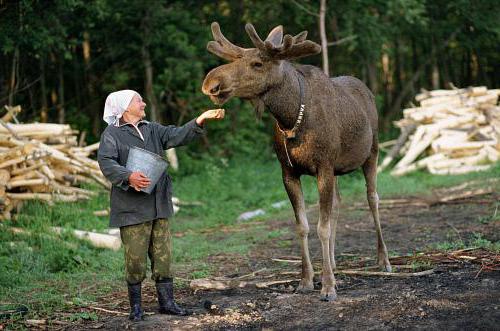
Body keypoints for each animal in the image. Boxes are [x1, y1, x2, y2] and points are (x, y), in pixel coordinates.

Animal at [201, 22, 392, 302]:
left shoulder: (323, 166)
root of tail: (367, 89)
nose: (210, 83)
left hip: (372, 152)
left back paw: (383, 260)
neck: (289, 117)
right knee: (338, 203)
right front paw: (307, 280)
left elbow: (322, 227)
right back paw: (333, 263)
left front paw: (328, 287)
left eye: (257, 63)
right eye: (235, 59)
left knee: (373, 198)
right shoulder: (289, 172)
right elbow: (302, 226)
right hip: (338, 169)